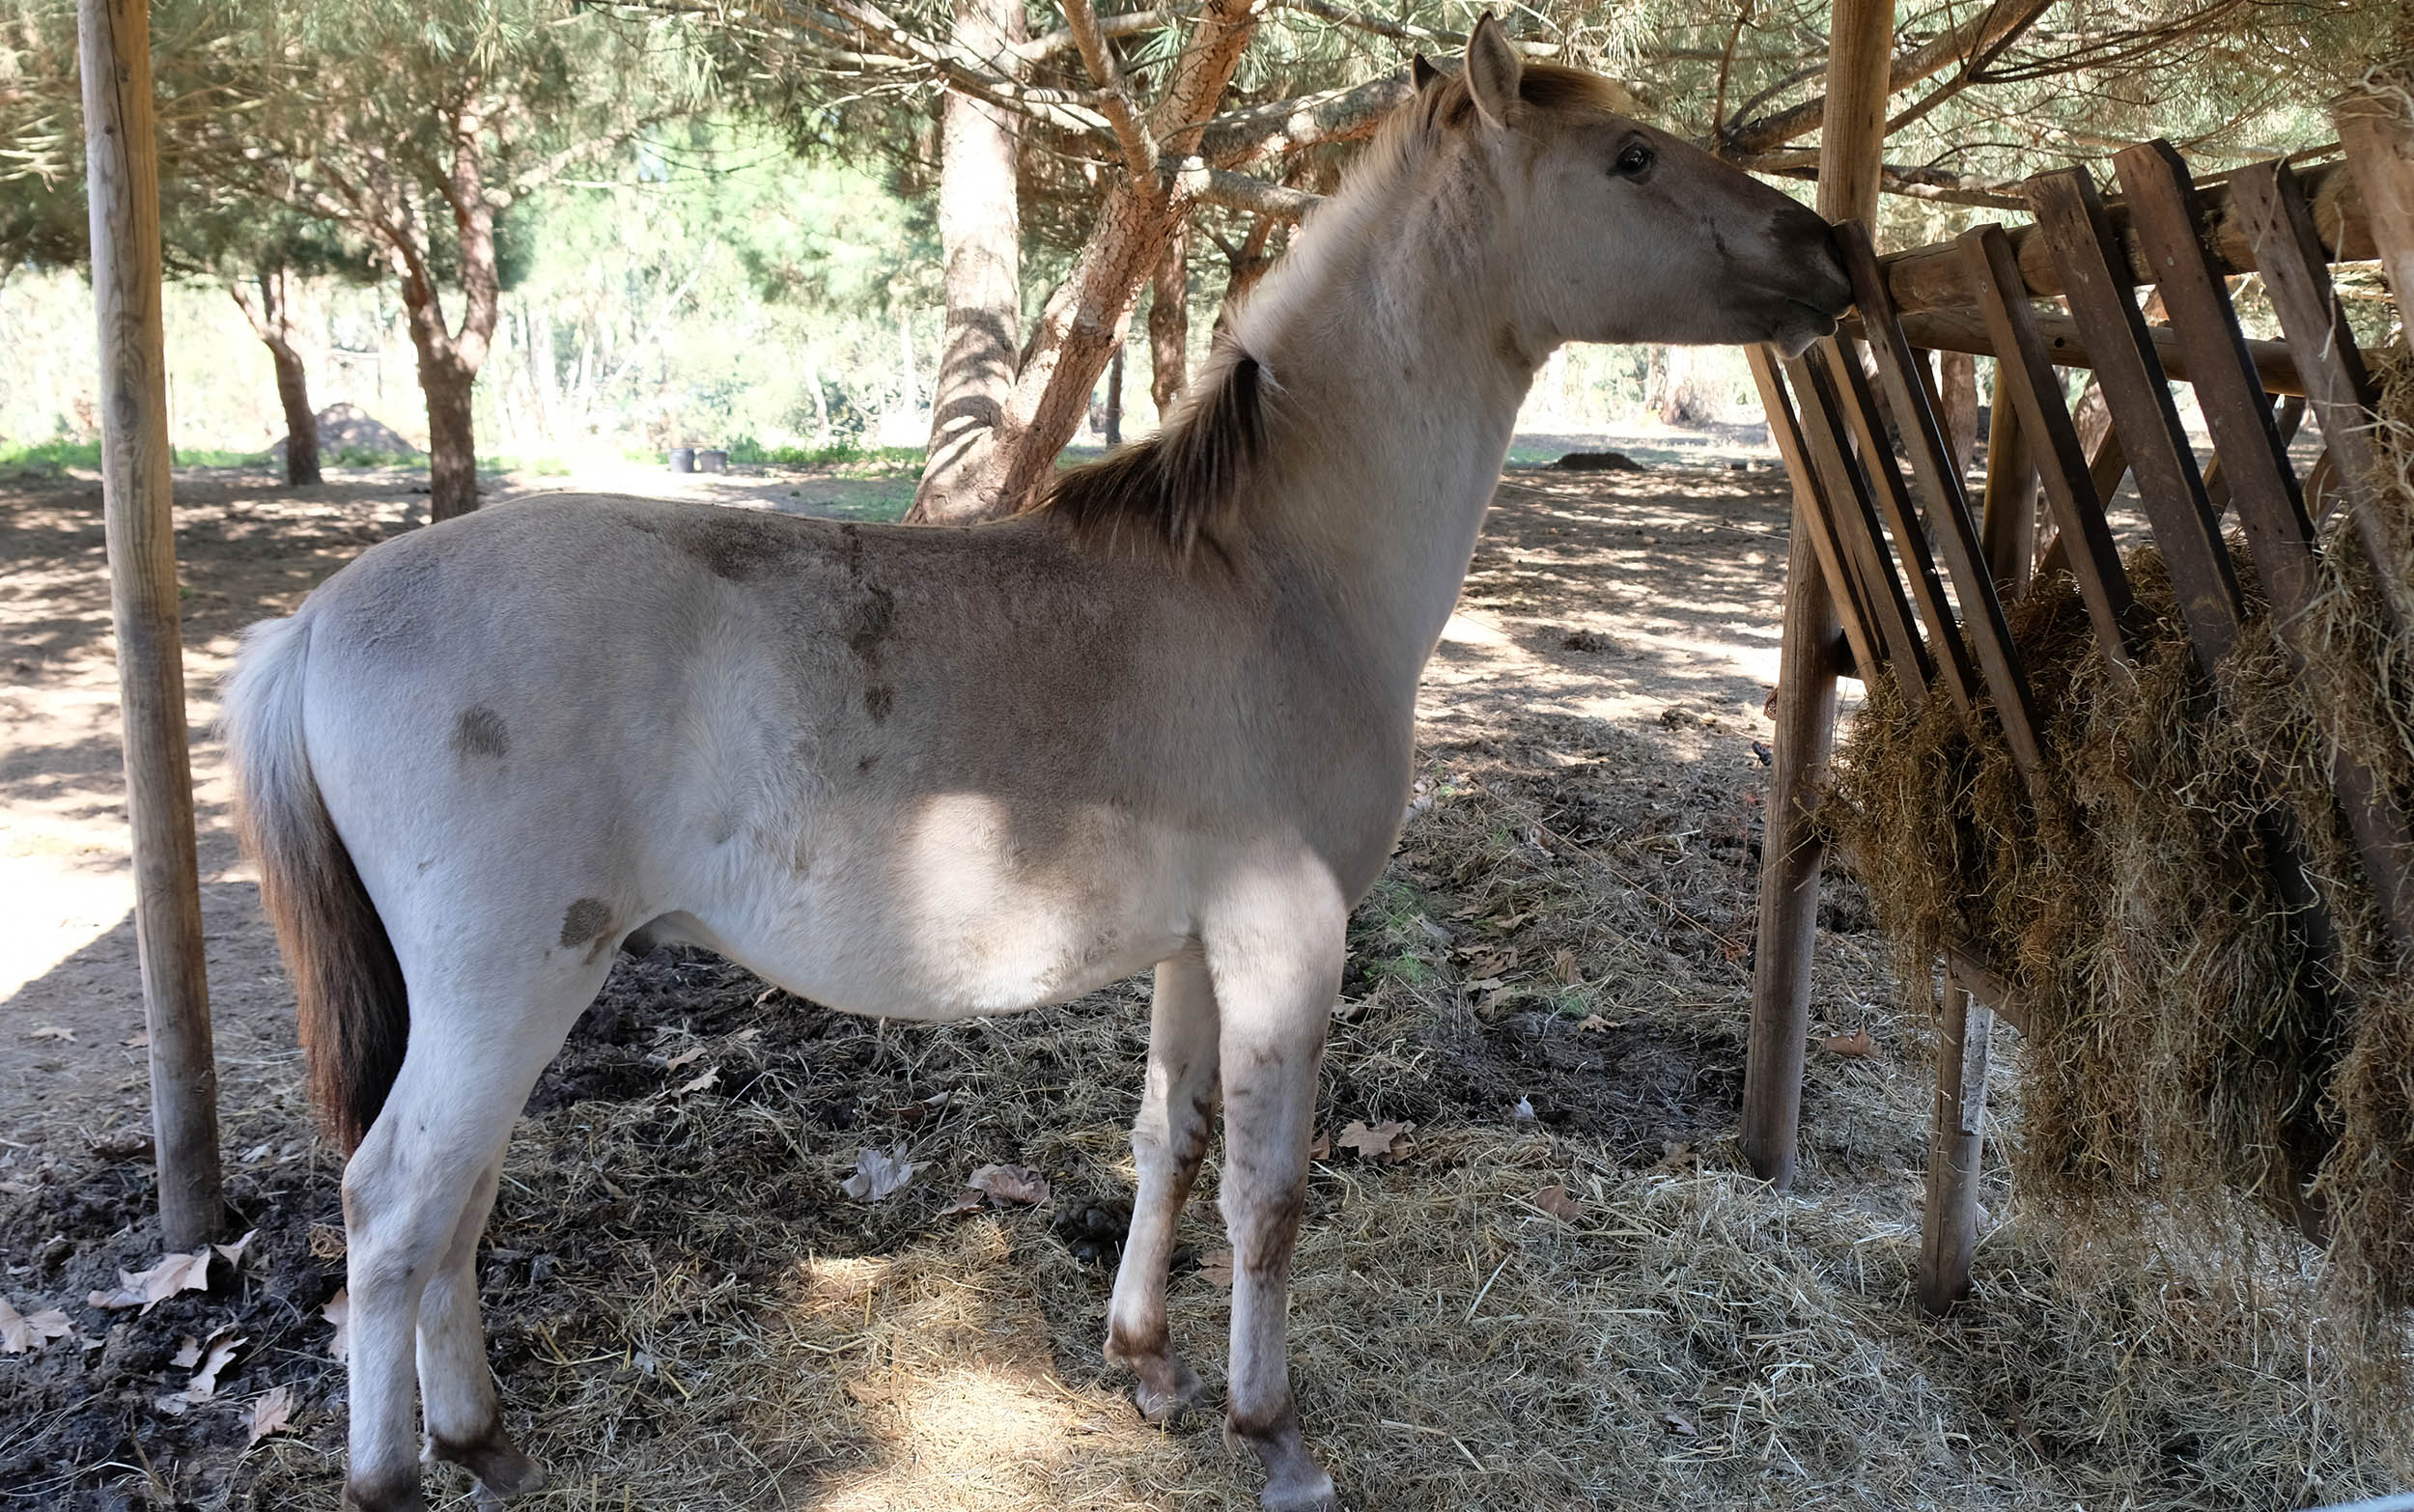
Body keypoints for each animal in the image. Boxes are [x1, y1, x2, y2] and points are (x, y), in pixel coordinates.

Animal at [221, 18, 1849, 1510]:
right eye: (1630, 157)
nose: (1833, 245)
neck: (1271, 577)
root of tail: (318, 620)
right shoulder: (1289, 937)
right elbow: (1268, 1195)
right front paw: (1273, 1433)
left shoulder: (1197, 947)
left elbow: (1169, 1143)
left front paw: (1148, 1364)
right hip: (509, 985)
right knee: (396, 1203)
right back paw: (397, 1473)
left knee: (457, 1201)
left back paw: (480, 1436)